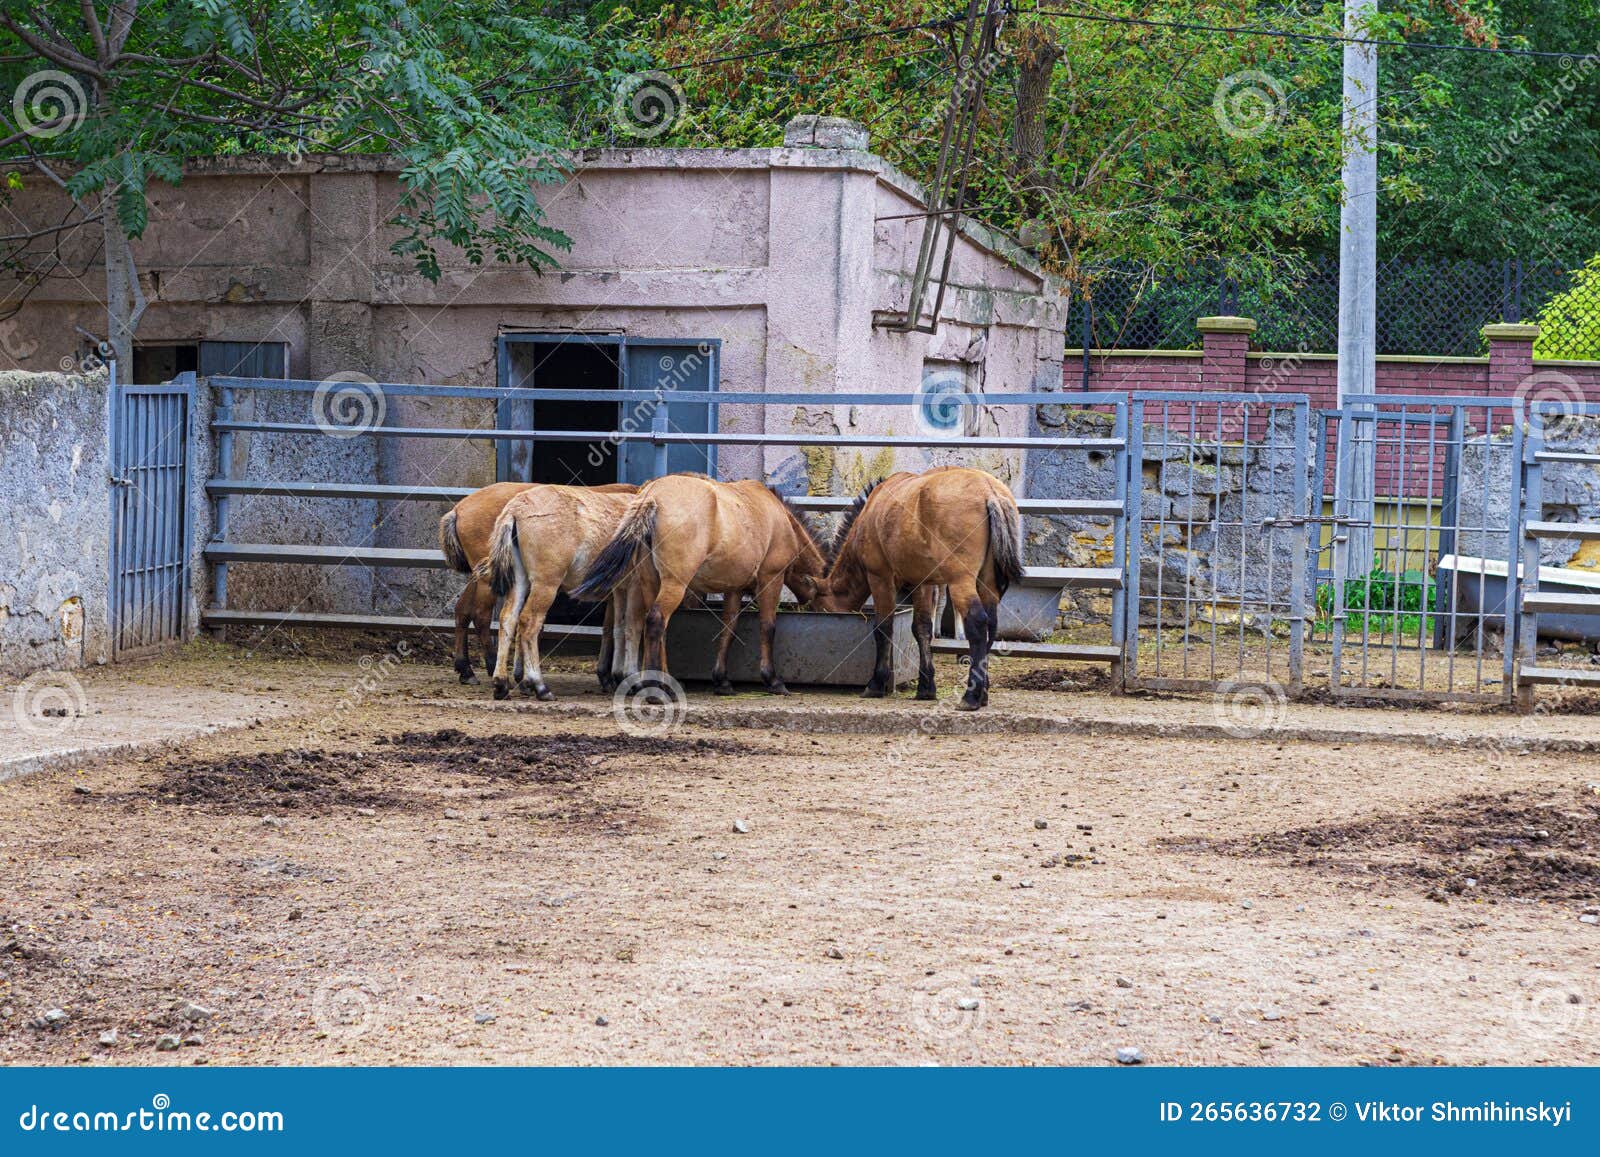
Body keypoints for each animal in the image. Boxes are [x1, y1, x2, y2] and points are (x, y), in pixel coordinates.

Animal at [440, 481, 636, 687]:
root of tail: (458, 509)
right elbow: (613, 628)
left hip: (481, 576)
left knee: (463, 610)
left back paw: (466, 669)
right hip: (492, 582)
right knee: (482, 615)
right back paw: (494, 666)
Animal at [571, 474, 829, 694]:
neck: (780, 517)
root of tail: (652, 497)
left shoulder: (734, 588)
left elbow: (728, 628)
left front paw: (722, 680)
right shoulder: (771, 579)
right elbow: (767, 626)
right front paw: (773, 680)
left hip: (650, 582)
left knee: (653, 627)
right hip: (675, 584)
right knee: (656, 621)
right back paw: (654, 685)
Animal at [814, 466, 1023, 710]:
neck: (871, 511)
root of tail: (988, 491)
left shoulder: (880, 579)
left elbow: (883, 627)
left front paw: (876, 683)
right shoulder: (922, 584)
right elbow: (922, 629)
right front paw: (926, 687)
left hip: (960, 581)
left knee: (978, 624)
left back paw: (971, 696)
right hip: (986, 584)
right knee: (991, 626)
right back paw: (983, 694)